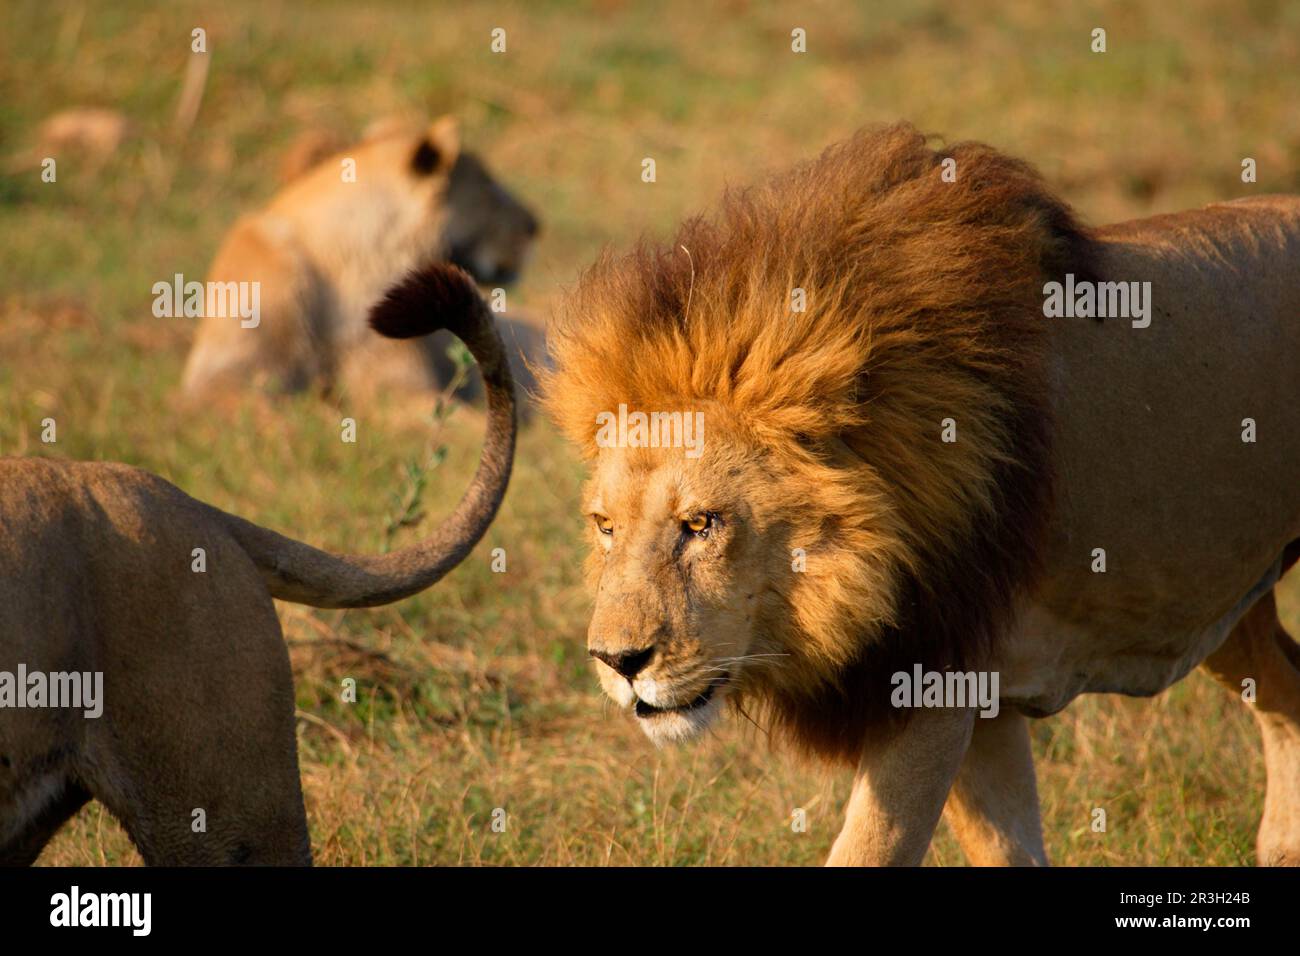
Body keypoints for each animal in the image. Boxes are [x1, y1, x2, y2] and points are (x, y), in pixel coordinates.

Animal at [539, 122, 1300, 866]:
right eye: (605, 527)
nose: (616, 663)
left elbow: (872, 850)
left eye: (701, 523)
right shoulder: (981, 696)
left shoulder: (933, 683)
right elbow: (1007, 847)